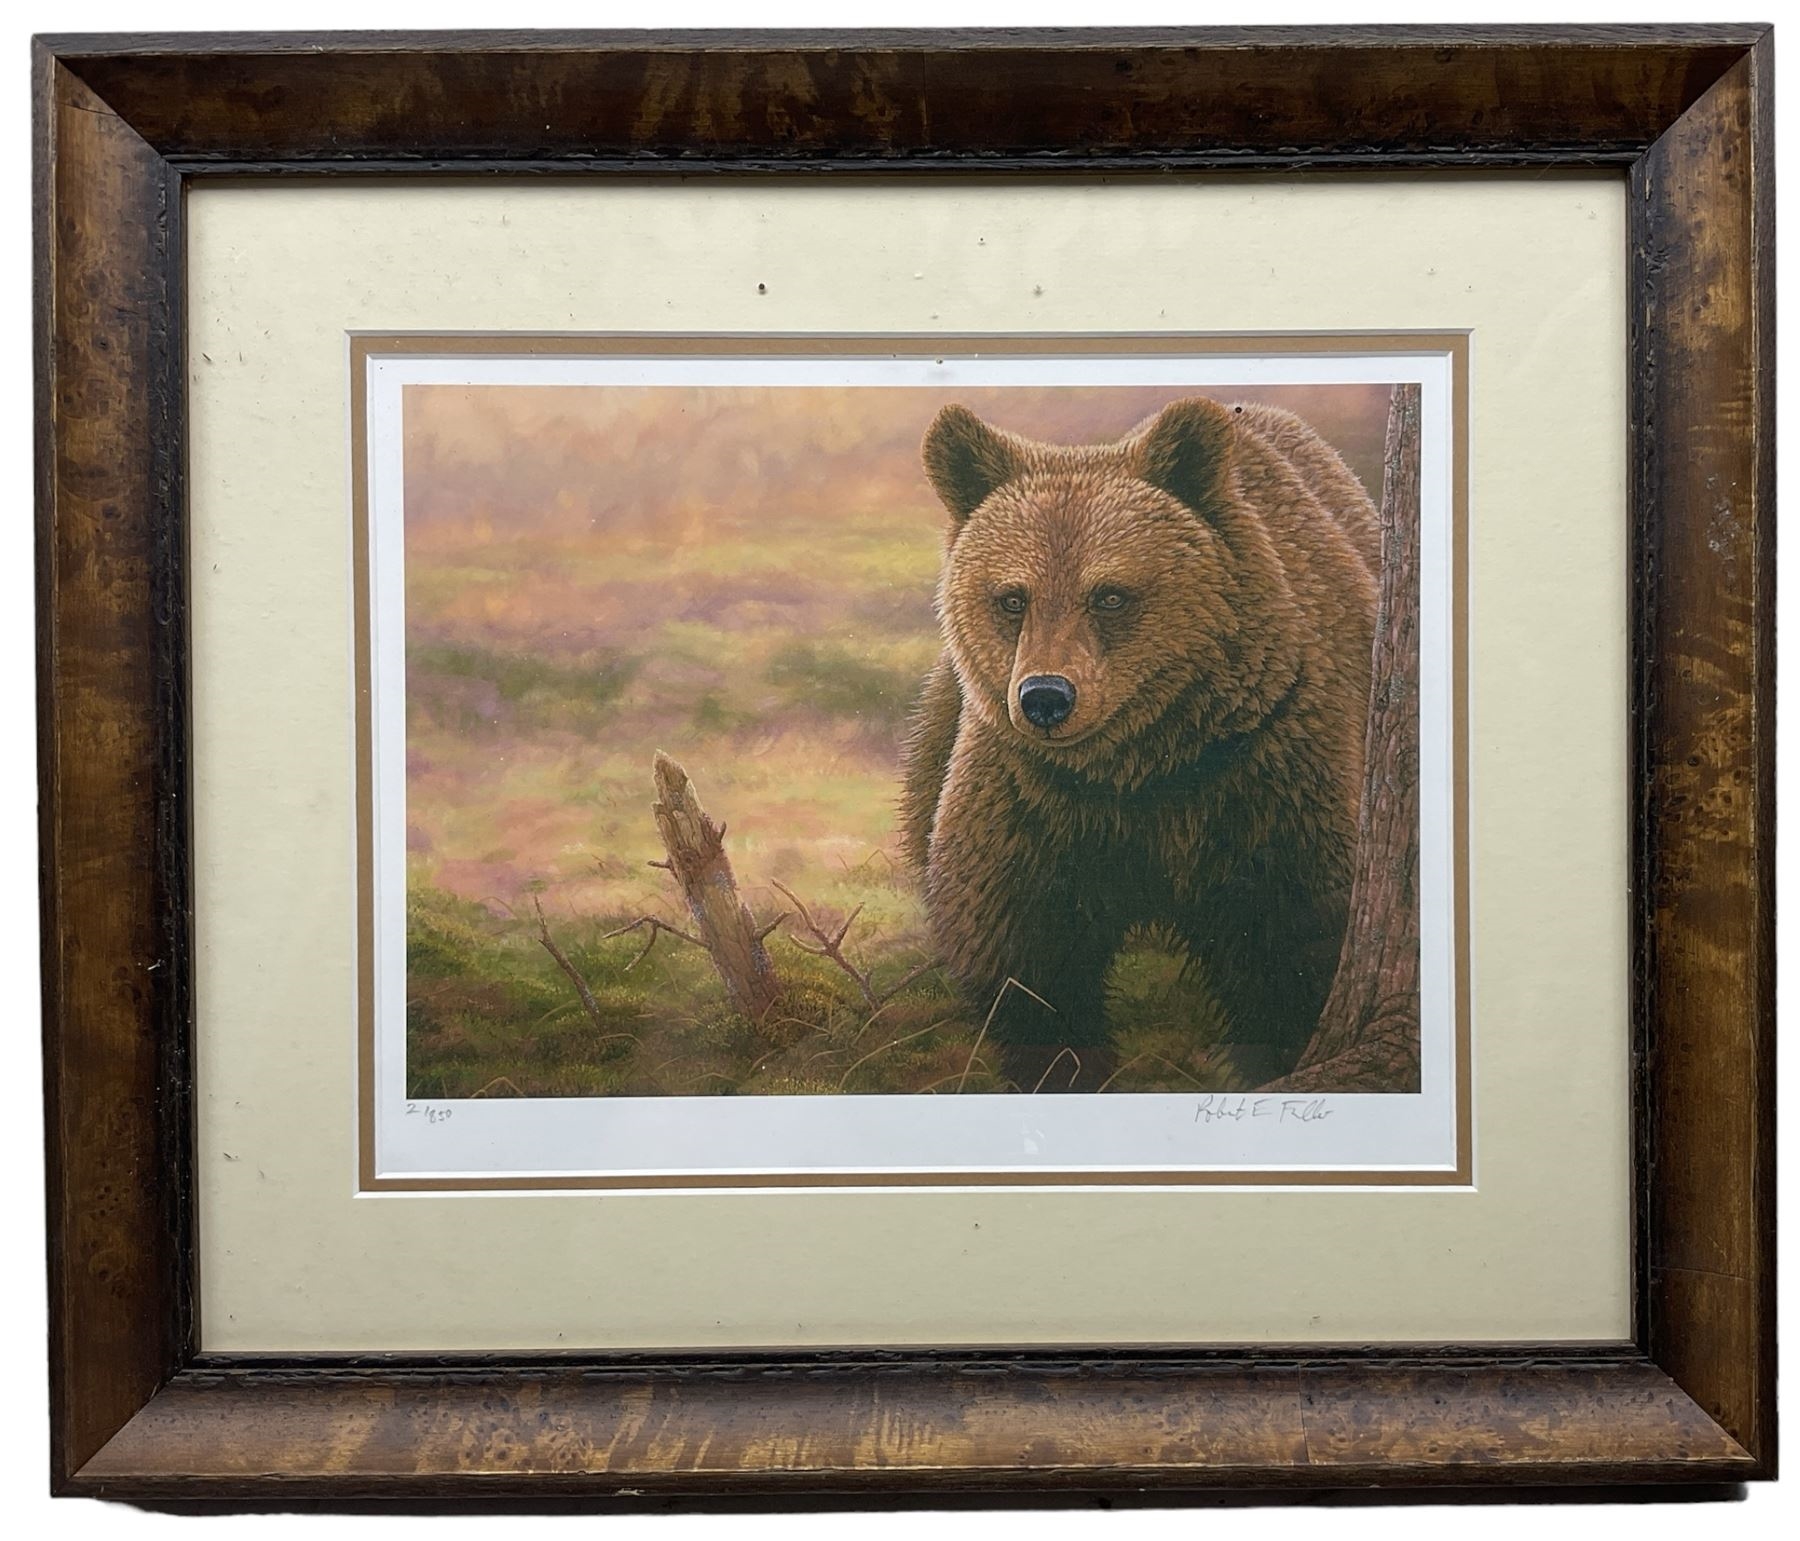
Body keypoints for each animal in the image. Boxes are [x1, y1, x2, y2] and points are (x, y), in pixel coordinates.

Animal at [897, 396, 1380, 1090]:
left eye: (1110, 594)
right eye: (1012, 597)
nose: (1046, 697)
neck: (1139, 762)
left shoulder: (1269, 769)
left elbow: (1292, 935)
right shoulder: (1029, 794)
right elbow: (1021, 946)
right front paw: (1067, 1065)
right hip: (937, 730)